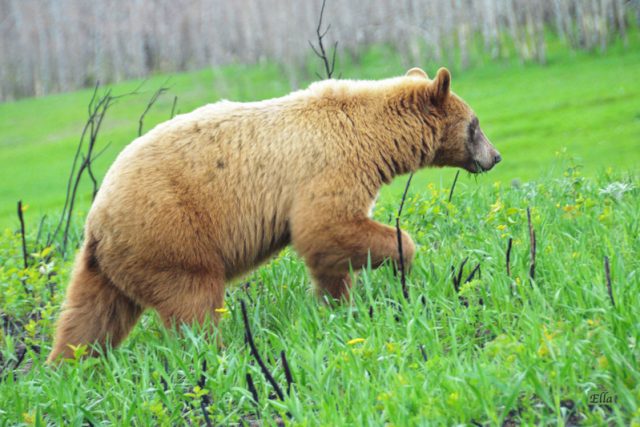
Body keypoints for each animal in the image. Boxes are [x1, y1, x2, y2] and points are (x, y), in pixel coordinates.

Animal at [47, 67, 501, 362]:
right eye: (475, 124)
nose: (494, 156)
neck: (371, 134)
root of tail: (97, 219)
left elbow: (327, 255)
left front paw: (336, 305)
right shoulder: (329, 165)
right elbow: (326, 226)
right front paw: (401, 257)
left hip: (110, 263)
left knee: (89, 317)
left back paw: (70, 366)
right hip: (170, 234)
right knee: (193, 302)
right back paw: (217, 355)